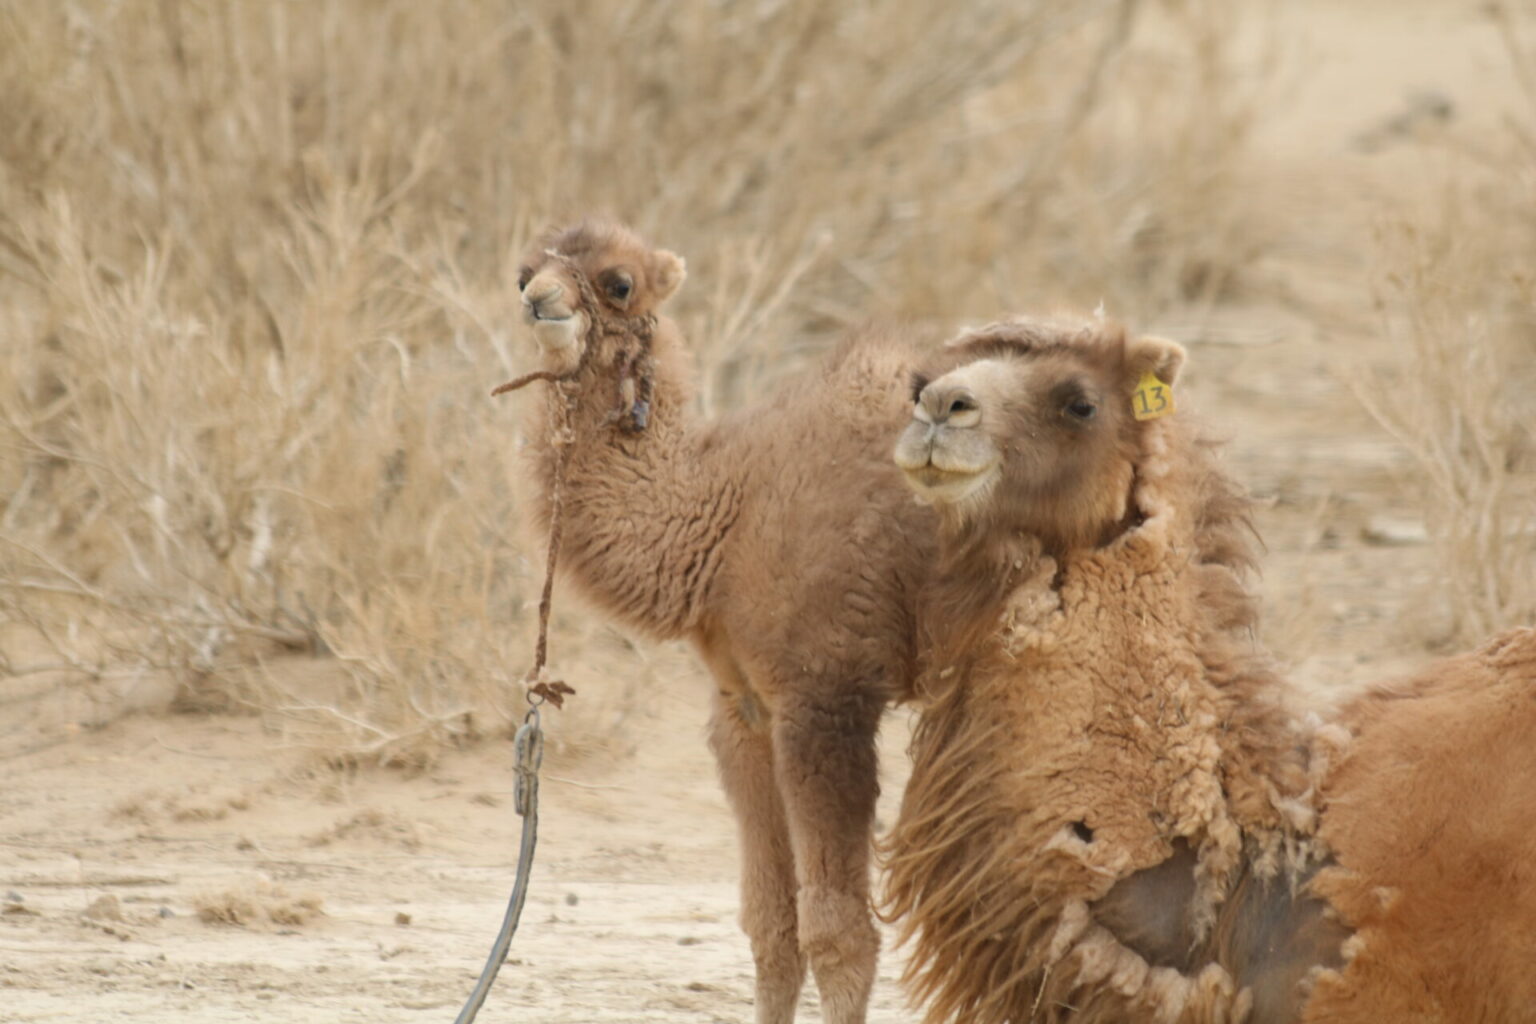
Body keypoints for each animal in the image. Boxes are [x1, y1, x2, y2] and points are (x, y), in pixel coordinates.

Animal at [506, 219, 937, 1023]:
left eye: (619, 282)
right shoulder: (744, 707)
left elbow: (838, 933)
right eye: (522, 272)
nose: (539, 300)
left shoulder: (825, 699)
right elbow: (772, 926)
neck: (723, 514)